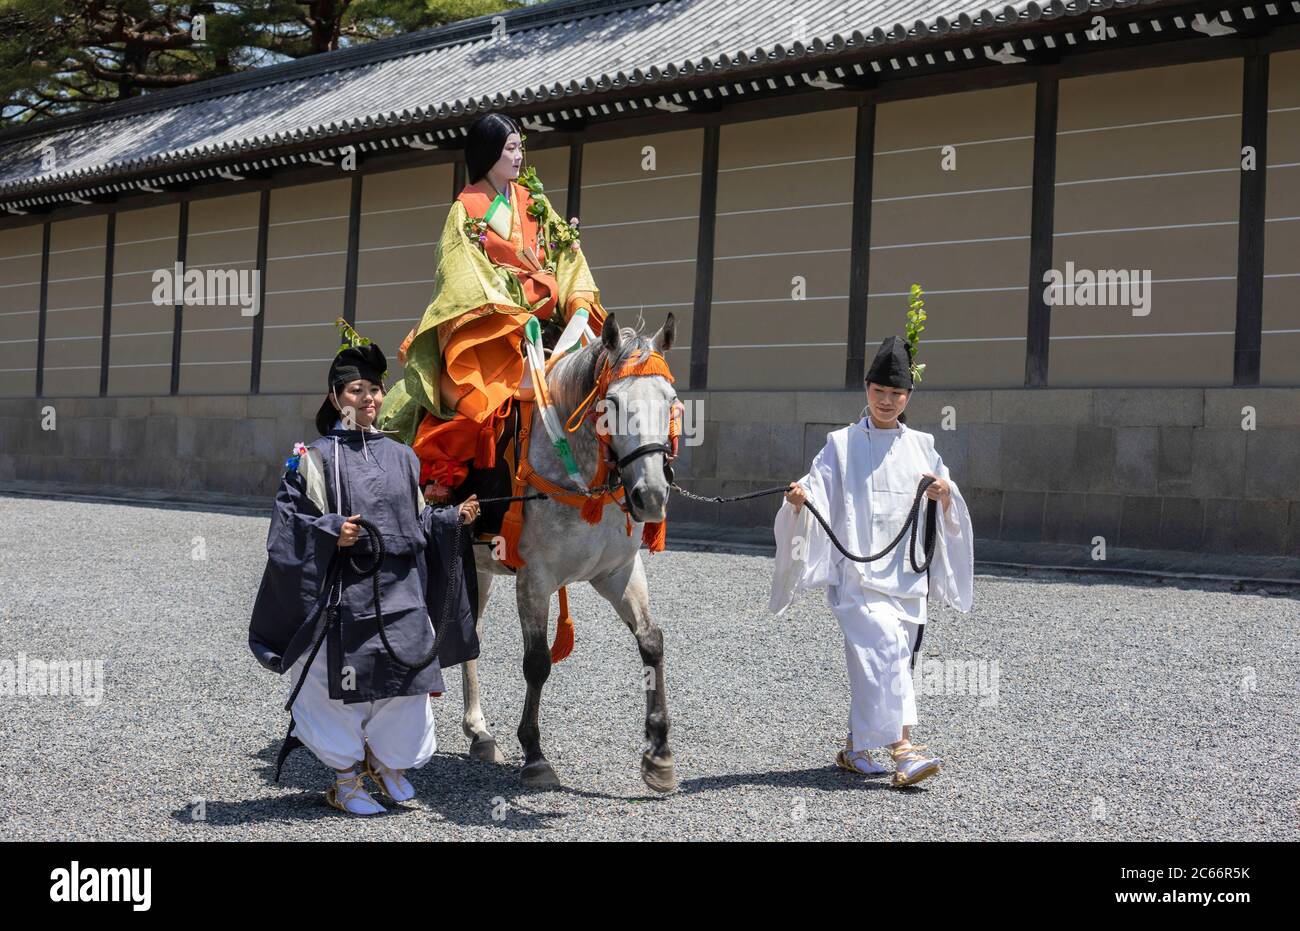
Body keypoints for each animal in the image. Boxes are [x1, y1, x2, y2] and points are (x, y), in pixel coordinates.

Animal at [460, 313, 681, 790]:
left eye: (671, 401)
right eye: (611, 403)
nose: (652, 495)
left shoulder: (618, 570)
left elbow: (651, 642)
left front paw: (658, 752)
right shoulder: (534, 577)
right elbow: (537, 662)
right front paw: (534, 754)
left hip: (477, 565)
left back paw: (478, 731)